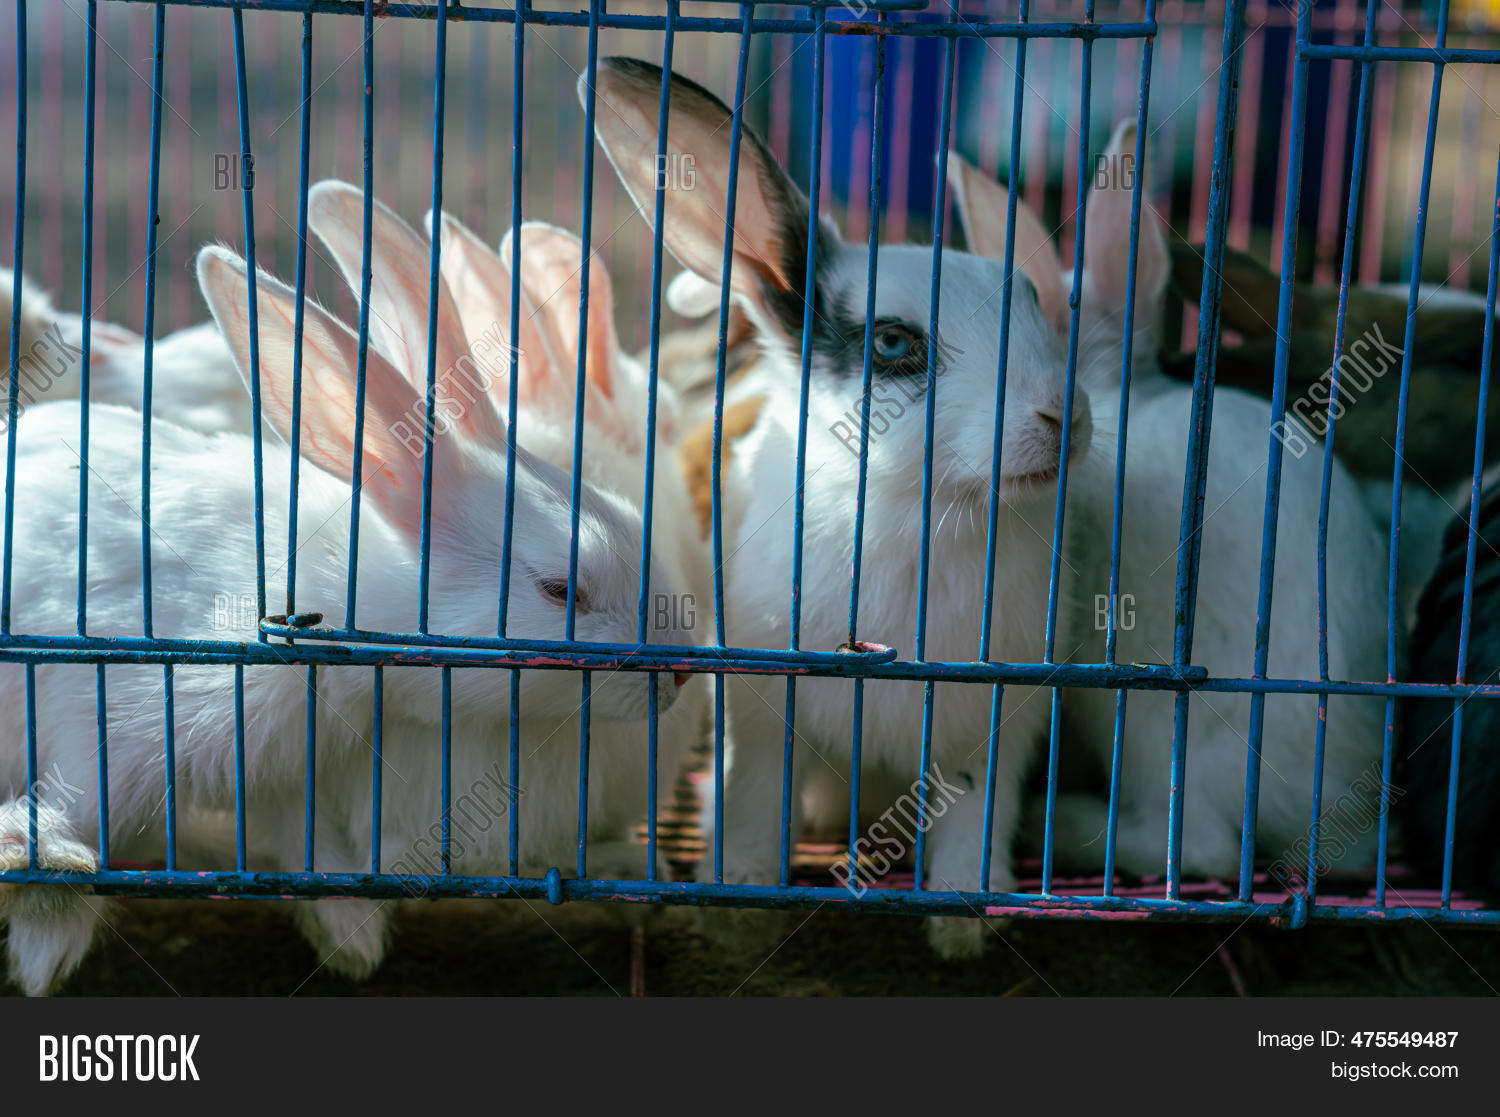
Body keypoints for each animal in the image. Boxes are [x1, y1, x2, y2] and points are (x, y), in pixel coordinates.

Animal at [0, 243, 695, 995]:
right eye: (561, 590)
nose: (681, 675)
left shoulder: (279, 775)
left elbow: (312, 850)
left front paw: (353, 937)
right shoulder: (120, 723)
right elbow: (73, 810)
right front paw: (46, 930)